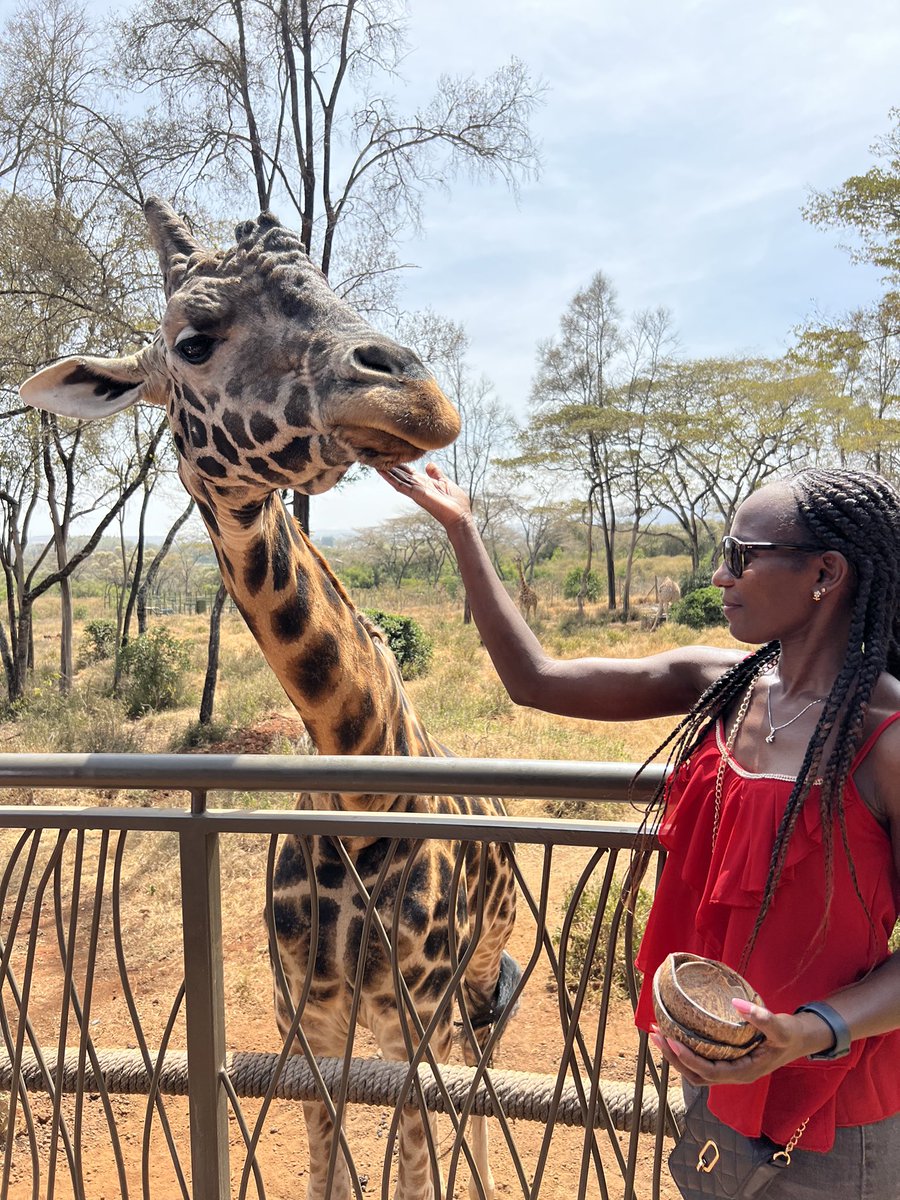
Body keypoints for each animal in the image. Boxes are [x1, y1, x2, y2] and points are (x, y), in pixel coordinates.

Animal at [21, 198, 520, 1200]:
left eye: (326, 278)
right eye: (193, 341)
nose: (416, 395)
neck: (362, 790)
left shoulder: (413, 1022)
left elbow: (415, 1167)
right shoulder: (311, 1022)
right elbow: (330, 1167)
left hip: (478, 979)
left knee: (478, 1080)